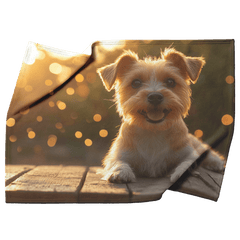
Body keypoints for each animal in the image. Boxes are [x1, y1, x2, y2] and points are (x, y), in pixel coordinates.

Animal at [96, 47, 224, 183]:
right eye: (136, 83)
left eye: (170, 81)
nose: (155, 97)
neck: (154, 132)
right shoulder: (118, 154)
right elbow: (117, 162)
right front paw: (120, 172)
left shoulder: (189, 154)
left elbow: (188, 163)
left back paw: (217, 164)